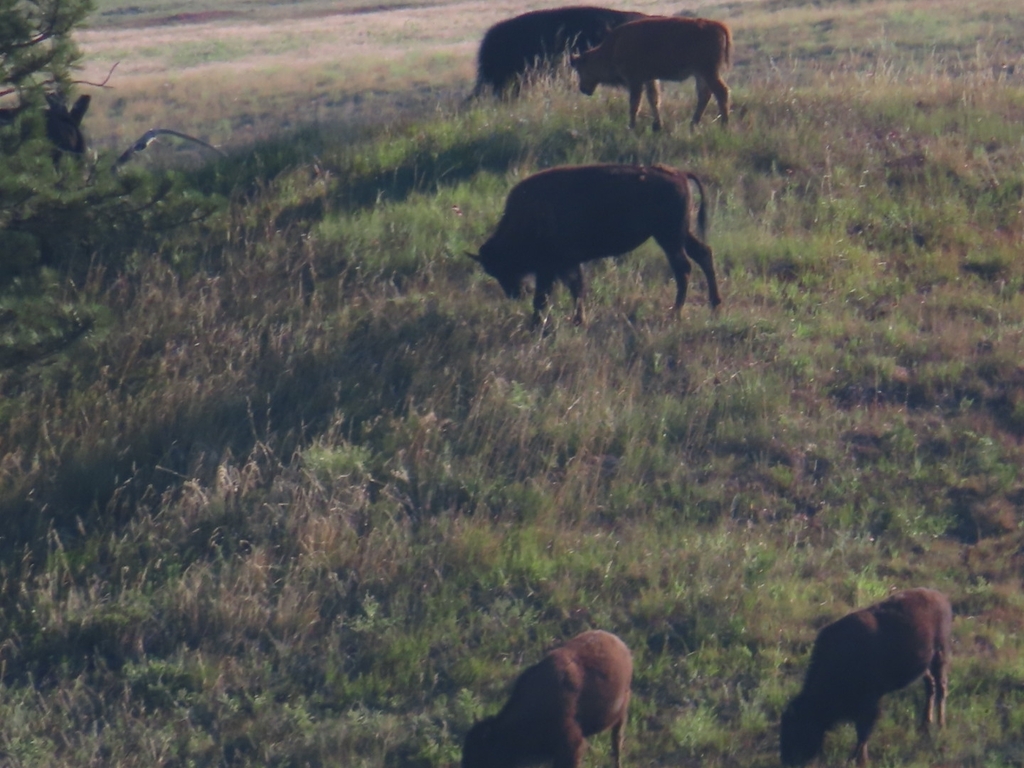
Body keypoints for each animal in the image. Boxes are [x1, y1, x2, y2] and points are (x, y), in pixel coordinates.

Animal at [469, 163, 722, 324]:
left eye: (503, 266)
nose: (515, 293)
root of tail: (679, 173)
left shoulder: (554, 266)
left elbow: (550, 295)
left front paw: (545, 323)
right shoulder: (561, 266)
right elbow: (572, 290)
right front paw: (574, 320)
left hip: (669, 237)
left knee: (684, 268)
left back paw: (675, 313)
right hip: (680, 234)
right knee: (704, 254)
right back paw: (714, 304)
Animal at [570, 16, 732, 130]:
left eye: (580, 69)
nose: (583, 89)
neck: (612, 48)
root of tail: (717, 25)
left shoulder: (635, 80)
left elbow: (635, 103)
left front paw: (631, 126)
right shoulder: (650, 79)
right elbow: (654, 99)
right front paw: (657, 126)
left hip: (708, 72)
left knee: (721, 92)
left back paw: (724, 126)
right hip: (701, 74)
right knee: (705, 95)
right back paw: (693, 125)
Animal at [781, 588, 953, 767]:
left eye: (798, 730)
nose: (788, 760)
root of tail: (940, 597)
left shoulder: (870, 703)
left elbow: (863, 733)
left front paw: (858, 759)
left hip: (940, 656)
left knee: (941, 687)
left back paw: (941, 725)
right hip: (924, 666)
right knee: (930, 686)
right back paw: (925, 725)